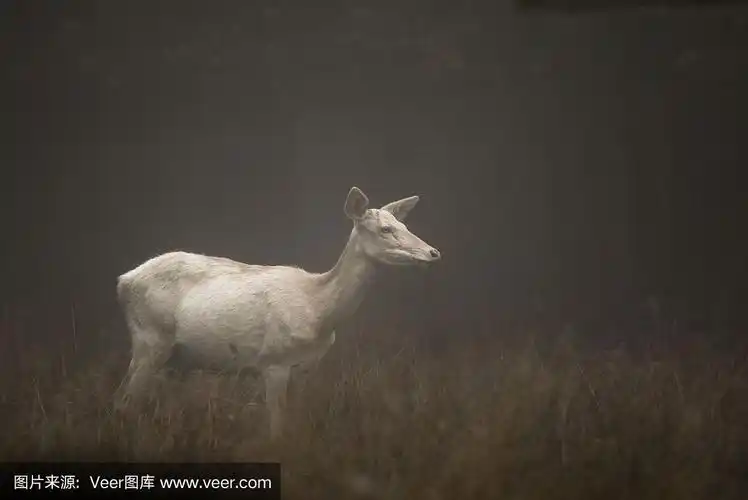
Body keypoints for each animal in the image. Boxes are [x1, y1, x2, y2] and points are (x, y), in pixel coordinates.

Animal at [114, 186, 441, 439]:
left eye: (406, 226)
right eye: (386, 229)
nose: (433, 252)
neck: (319, 309)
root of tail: (124, 280)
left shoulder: (306, 367)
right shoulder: (273, 360)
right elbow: (276, 428)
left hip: (178, 359)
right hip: (149, 339)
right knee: (126, 400)